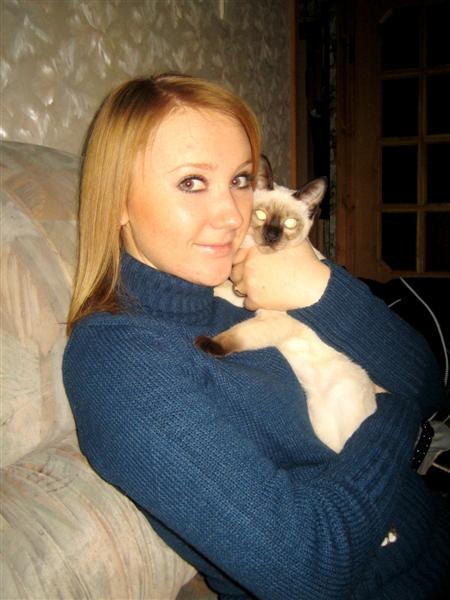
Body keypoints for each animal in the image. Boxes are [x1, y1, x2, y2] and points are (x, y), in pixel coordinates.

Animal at [195, 155, 378, 454]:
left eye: (290, 223)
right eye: (260, 216)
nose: (271, 236)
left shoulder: (272, 321)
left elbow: (236, 335)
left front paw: (208, 344)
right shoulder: (247, 298)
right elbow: (221, 289)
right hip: (321, 423)